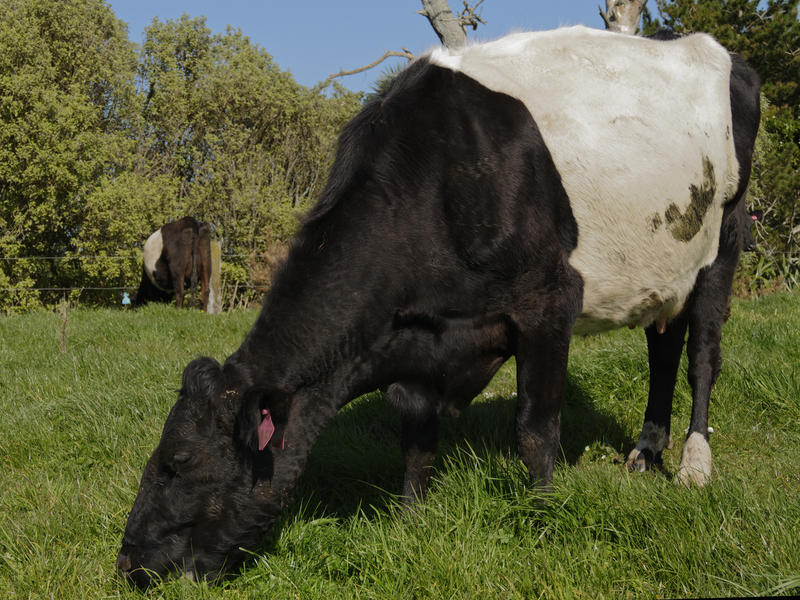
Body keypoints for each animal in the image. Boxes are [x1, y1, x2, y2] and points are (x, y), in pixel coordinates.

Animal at [117, 26, 760, 587]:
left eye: (178, 459)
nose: (127, 564)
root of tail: (716, 52)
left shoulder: (549, 301)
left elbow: (536, 429)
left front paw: (544, 519)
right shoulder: (419, 343)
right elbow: (416, 441)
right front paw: (411, 522)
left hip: (722, 242)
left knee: (702, 356)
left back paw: (693, 464)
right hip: (665, 272)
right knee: (662, 349)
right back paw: (646, 451)